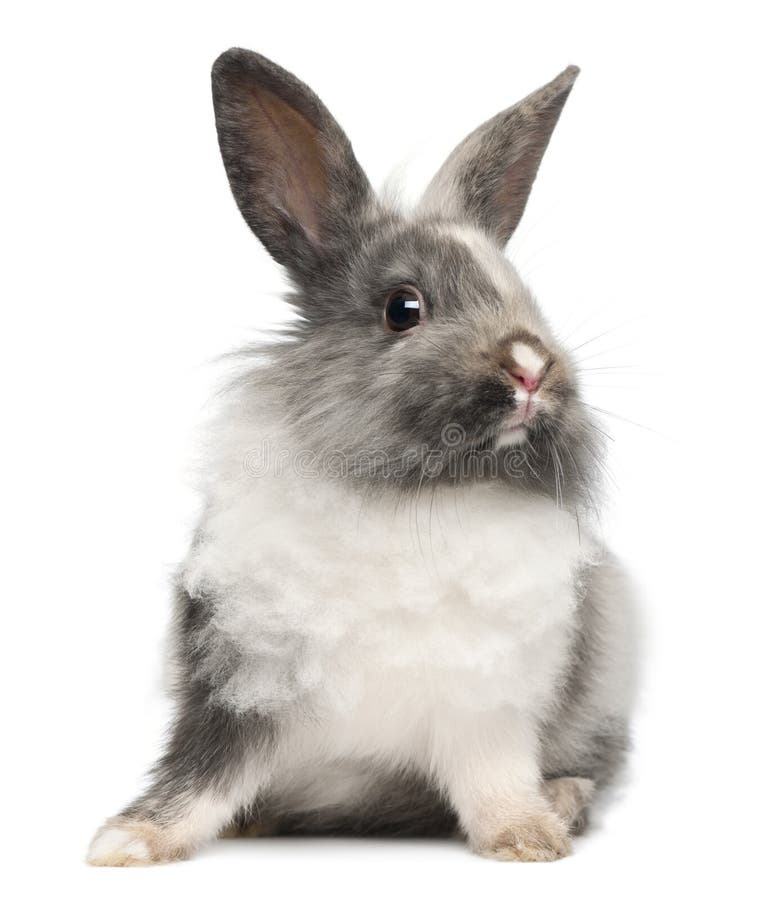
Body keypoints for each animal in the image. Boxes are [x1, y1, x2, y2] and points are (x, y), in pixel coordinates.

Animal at [87, 48, 638, 866]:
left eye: (525, 297)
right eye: (403, 309)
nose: (530, 367)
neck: (410, 495)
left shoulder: (490, 708)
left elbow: (495, 778)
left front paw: (526, 838)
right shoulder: (237, 685)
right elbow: (200, 775)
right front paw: (129, 842)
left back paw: (562, 799)